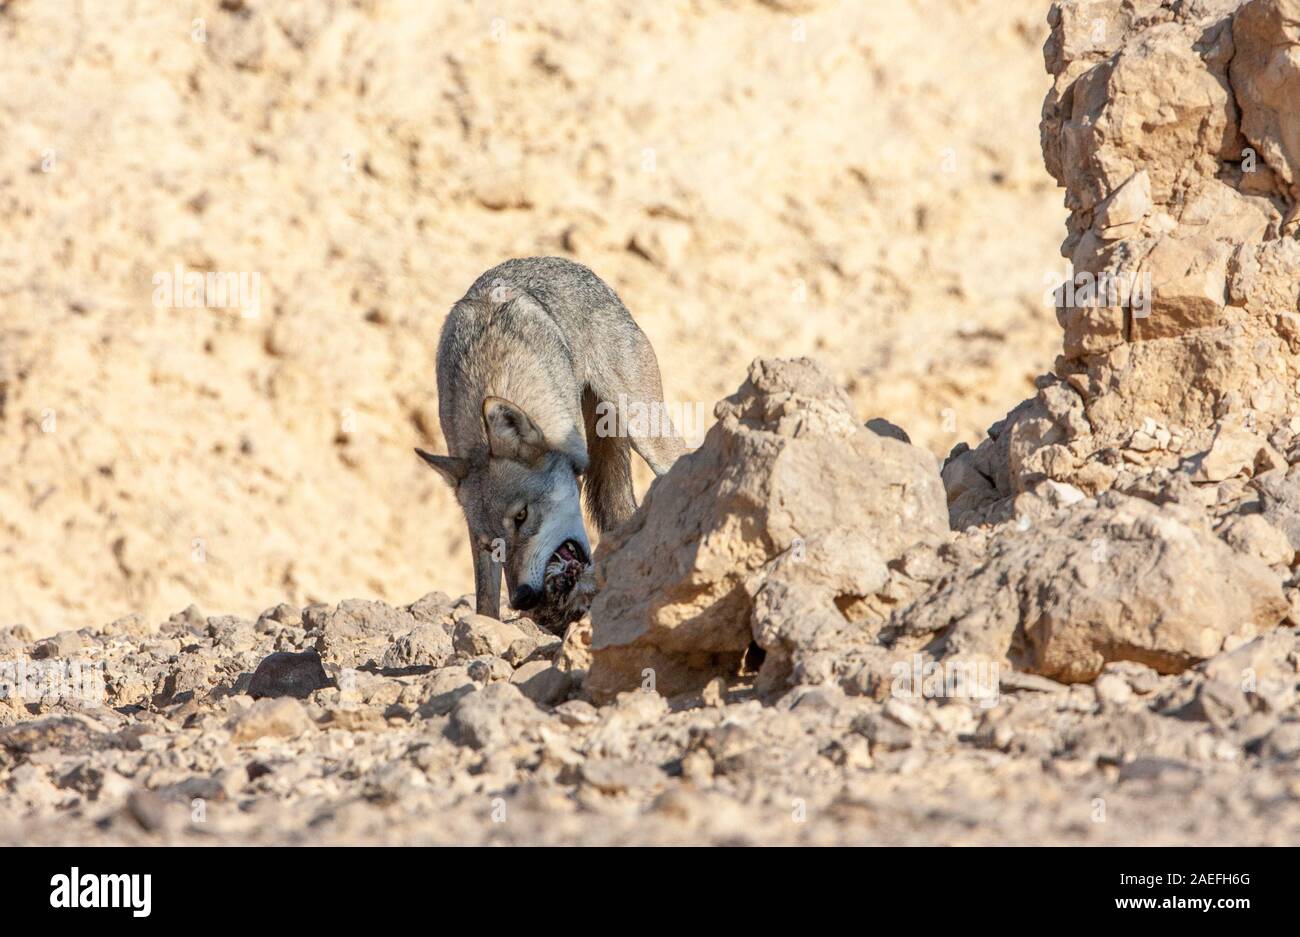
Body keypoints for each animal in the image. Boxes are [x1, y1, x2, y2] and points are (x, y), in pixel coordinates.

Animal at [416, 257, 685, 629]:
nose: (522, 597)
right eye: (490, 546)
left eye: (522, 516)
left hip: (648, 434)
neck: (494, 373)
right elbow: (485, 598)